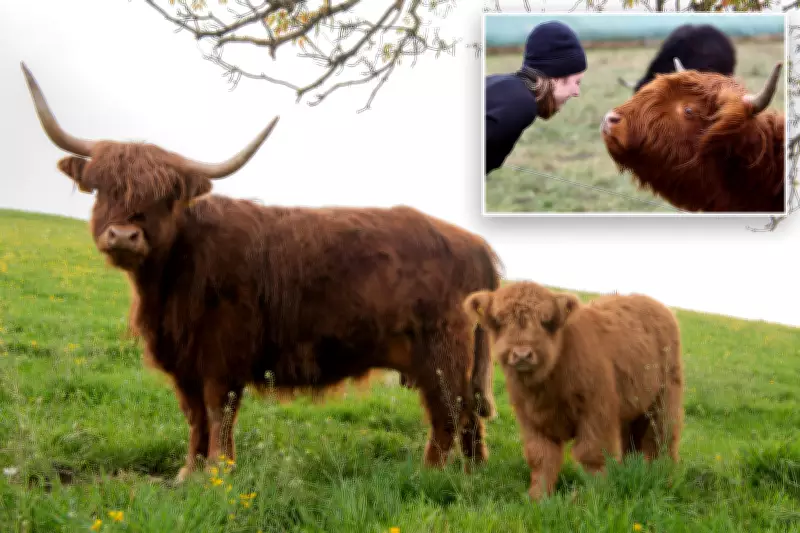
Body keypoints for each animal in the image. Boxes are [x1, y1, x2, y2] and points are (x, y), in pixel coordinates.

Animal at [20, 62, 500, 483]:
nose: (123, 235)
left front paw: (218, 473)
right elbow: (194, 416)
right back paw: (472, 475)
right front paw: (188, 473)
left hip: (441, 354)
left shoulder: (223, 355)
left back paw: (431, 475)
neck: (171, 279)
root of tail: (474, 243)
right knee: (468, 416)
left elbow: (219, 412)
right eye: (101, 188)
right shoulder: (184, 361)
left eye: (167, 196)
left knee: (448, 413)